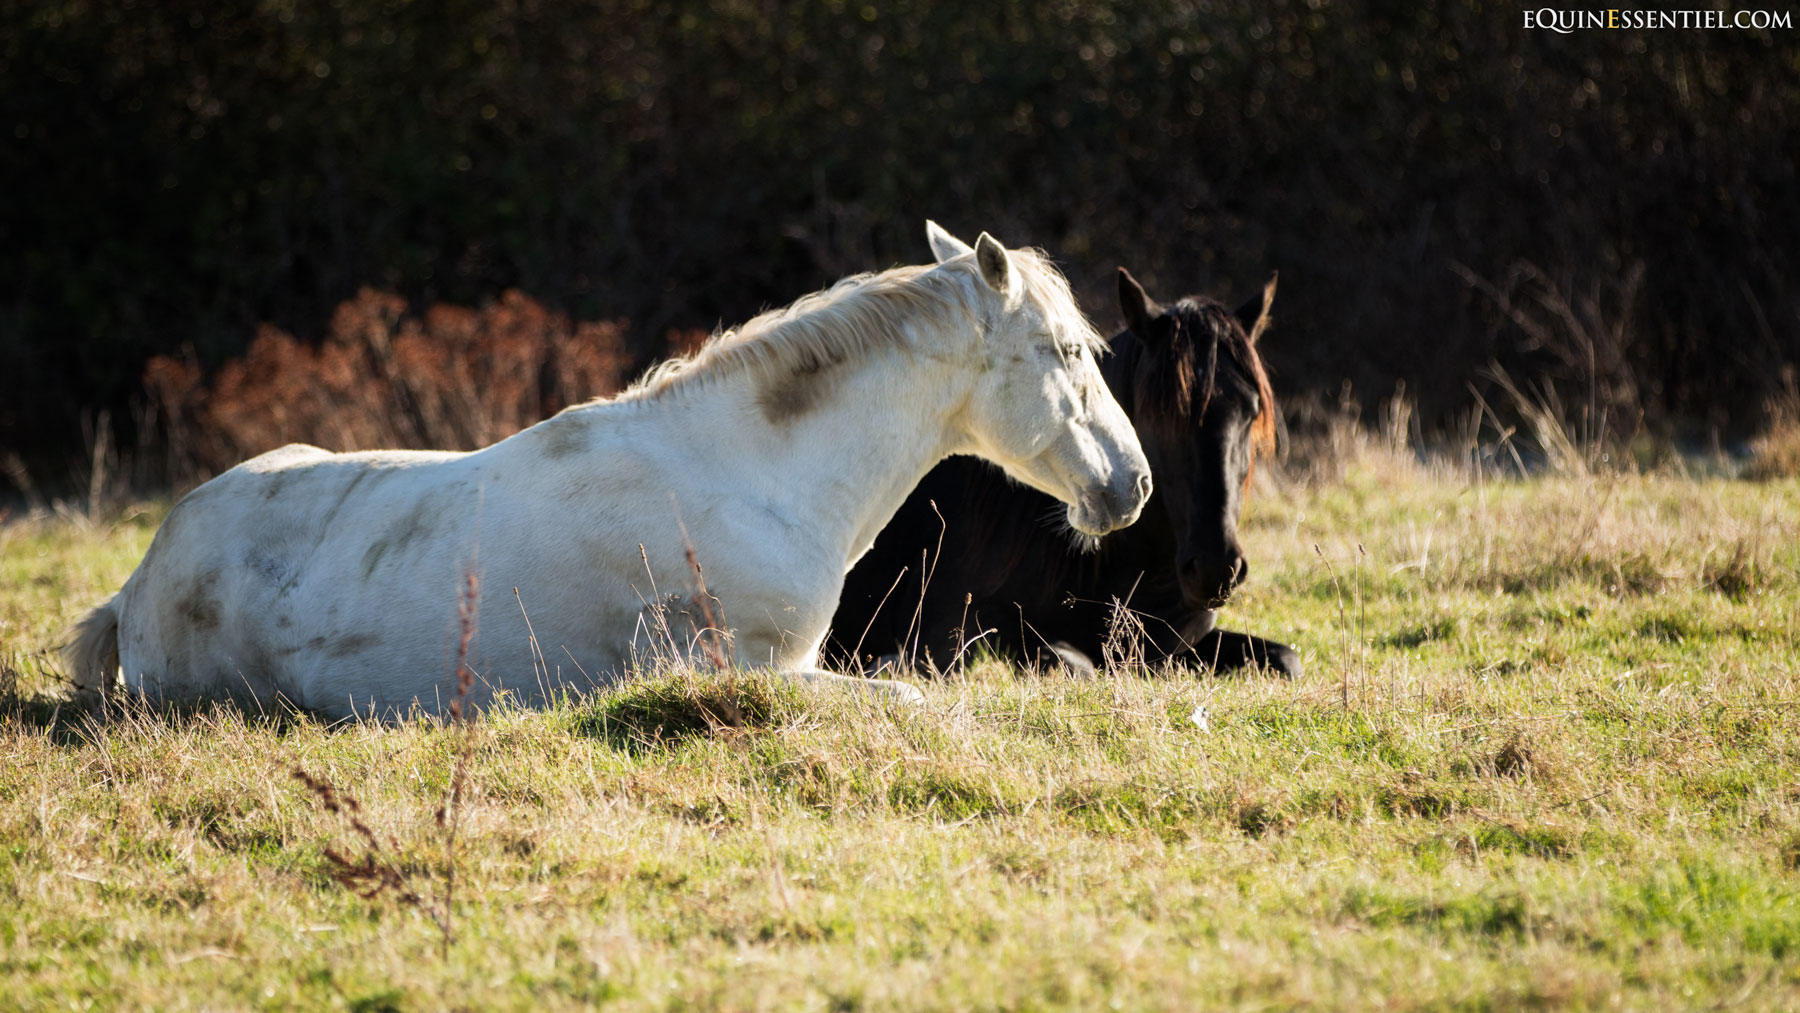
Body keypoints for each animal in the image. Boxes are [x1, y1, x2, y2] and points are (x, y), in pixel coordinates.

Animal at [66, 225, 1153, 719]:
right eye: (1064, 350)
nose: (1132, 485)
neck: (750, 478)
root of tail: (138, 580)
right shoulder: (749, 671)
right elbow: (923, 699)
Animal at [827, 236, 1300, 679]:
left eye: (1251, 410)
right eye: (1157, 413)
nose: (1215, 569)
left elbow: (1288, 657)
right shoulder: (948, 623)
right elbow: (1075, 662)